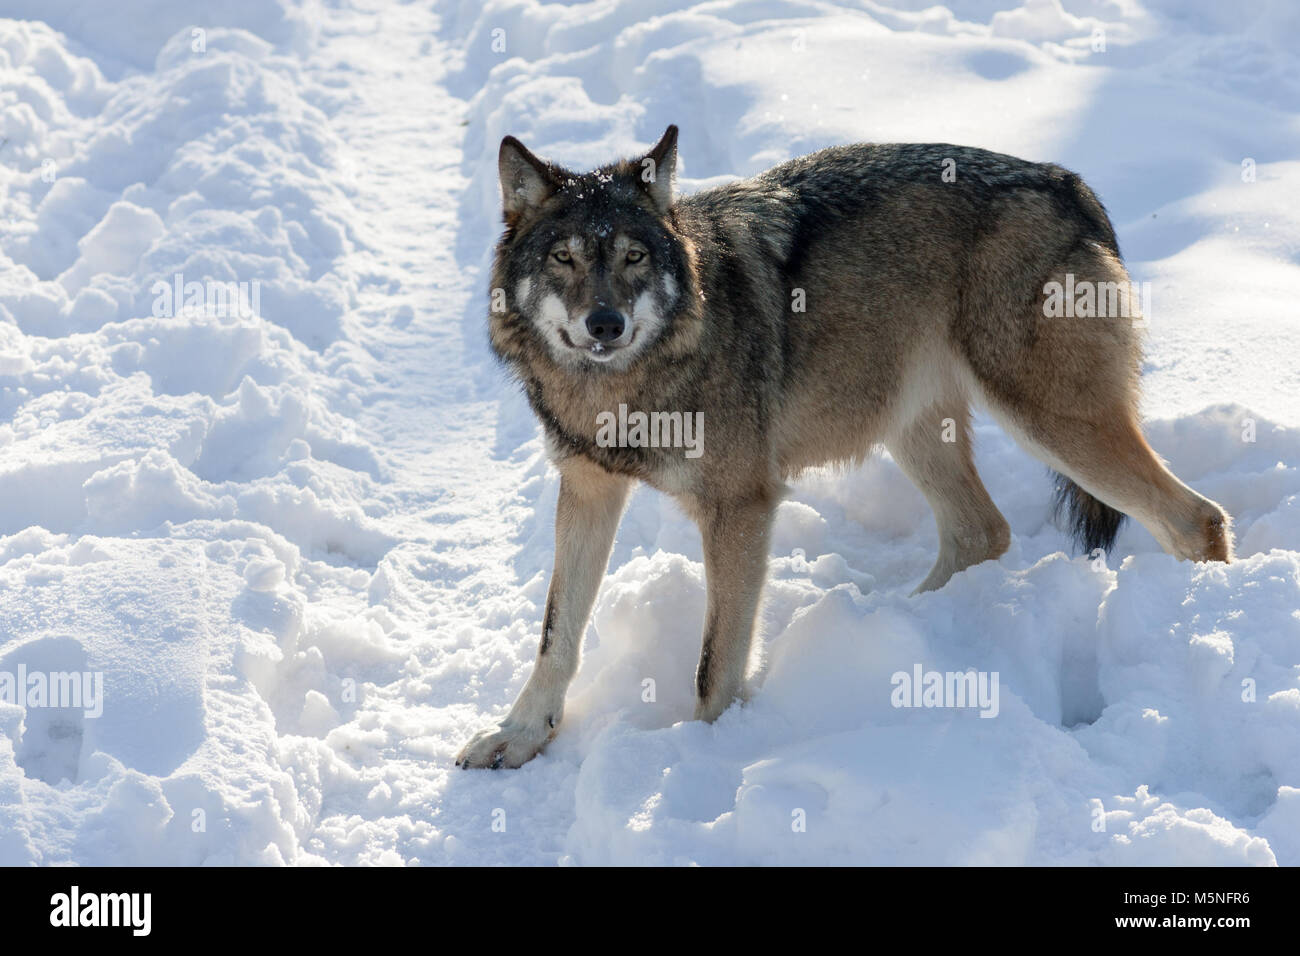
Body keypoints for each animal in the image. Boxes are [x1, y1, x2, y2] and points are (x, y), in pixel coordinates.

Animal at [456, 125, 1233, 769]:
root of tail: (1067, 182)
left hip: (1050, 424)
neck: (621, 389)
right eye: (564, 258)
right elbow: (555, 632)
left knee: (1196, 519)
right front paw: (519, 736)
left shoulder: (740, 507)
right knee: (983, 532)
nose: (605, 323)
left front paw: (703, 762)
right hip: (912, 429)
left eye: (634, 257)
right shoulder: (588, 485)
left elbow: (714, 665)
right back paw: (892, 630)